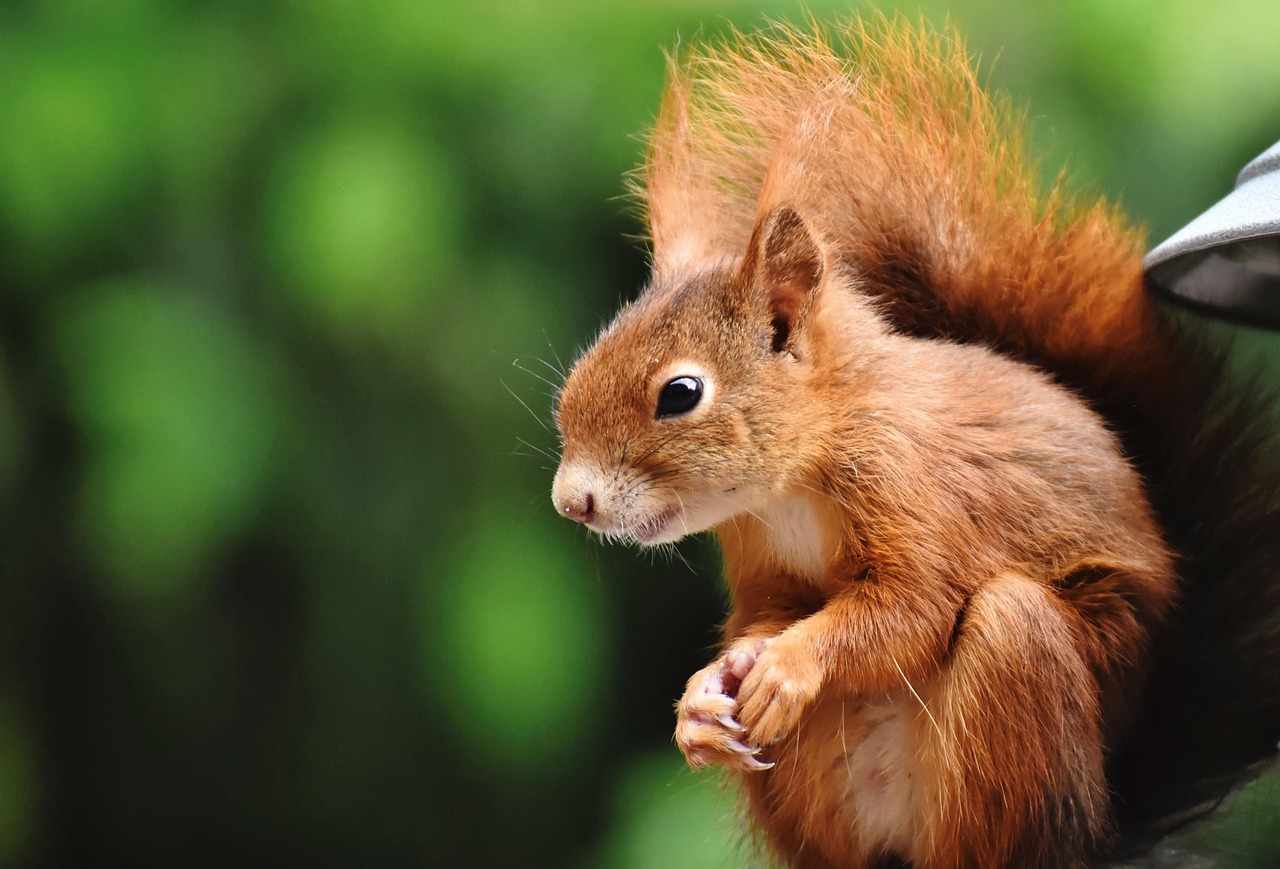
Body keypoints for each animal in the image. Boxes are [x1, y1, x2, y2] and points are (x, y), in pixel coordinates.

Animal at [549, 16, 1280, 869]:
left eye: (681, 394)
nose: (571, 500)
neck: (795, 478)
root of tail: (1096, 824)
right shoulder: (760, 554)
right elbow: (770, 611)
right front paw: (703, 695)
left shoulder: (913, 483)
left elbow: (910, 607)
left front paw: (790, 662)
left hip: (1020, 692)